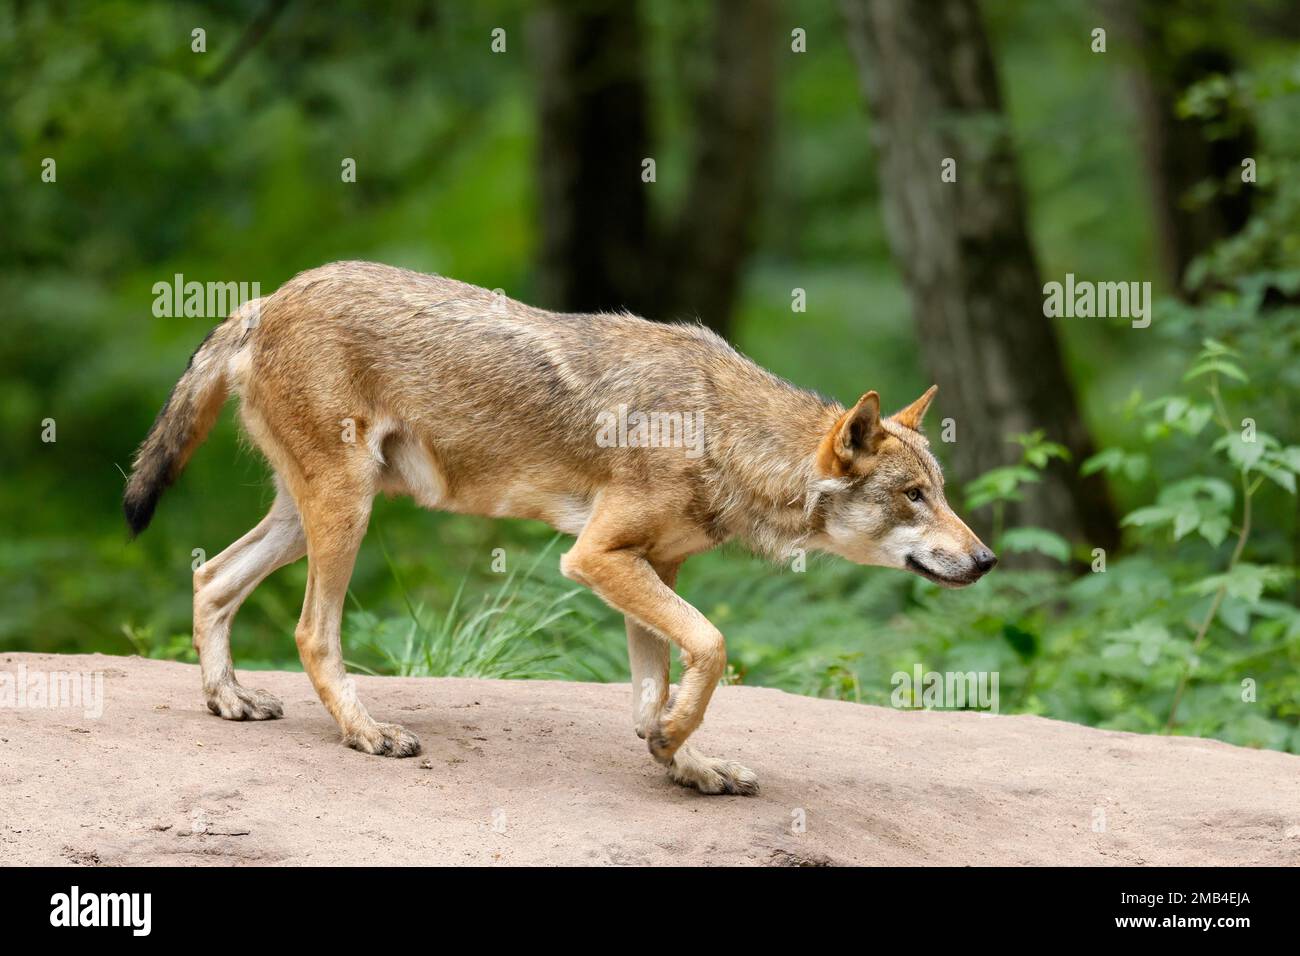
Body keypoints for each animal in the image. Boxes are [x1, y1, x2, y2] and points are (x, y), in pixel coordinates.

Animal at [124, 261, 996, 795]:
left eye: (941, 493)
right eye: (914, 495)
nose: (986, 559)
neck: (720, 431)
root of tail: (262, 300)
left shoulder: (651, 567)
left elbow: (659, 687)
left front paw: (685, 760)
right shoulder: (596, 557)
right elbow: (713, 647)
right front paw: (677, 742)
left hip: (312, 515)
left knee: (211, 577)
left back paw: (229, 701)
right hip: (345, 513)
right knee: (311, 632)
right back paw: (369, 733)